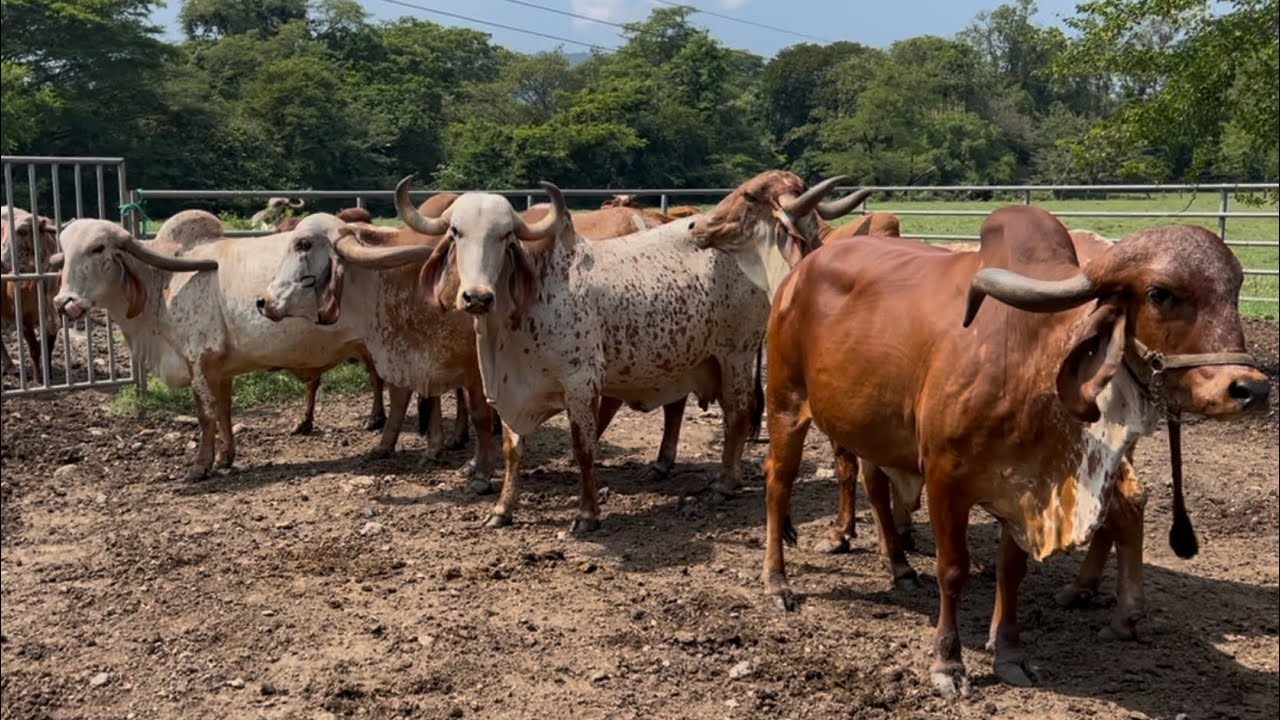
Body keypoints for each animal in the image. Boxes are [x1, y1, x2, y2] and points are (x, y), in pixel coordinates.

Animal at [2, 207, 60, 384]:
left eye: (22, 231)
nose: (1, 262)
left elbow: (48, 346)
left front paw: (49, 374)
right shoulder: (23, 318)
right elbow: (34, 348)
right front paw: (39, 379)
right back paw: (10, 366)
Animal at [51, 212, 379, 480]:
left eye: (97, 248)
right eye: (64, 252)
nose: (64, 302)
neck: (165, 282)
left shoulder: (198, 361)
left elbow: (206, 415)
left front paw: (200, 466)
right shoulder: (221, 370)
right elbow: (224, 412)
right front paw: (225, 457)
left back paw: (376, 420)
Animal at [391, 170, 851, 532]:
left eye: (505, 236)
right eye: (455, 233)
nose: (476, 297)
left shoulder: (581, 384)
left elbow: (584, 448)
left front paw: (587, 514)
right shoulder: (511, 390)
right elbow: (512, 448)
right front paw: (503, 508)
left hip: (735, 354)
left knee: (737, 415)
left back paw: (725, 483)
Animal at [760, 206, 1269, 696]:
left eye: (1236, 288)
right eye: (1160, 293)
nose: (1251, 389)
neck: (1031, 360)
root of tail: (800, 272)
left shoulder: (1022, 491)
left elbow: (1012, 572)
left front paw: (1008, 654)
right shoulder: (945, 480)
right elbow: (952, 570)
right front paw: (948, 662)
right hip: (785, 404)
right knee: (779, 484)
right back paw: (778, 581)